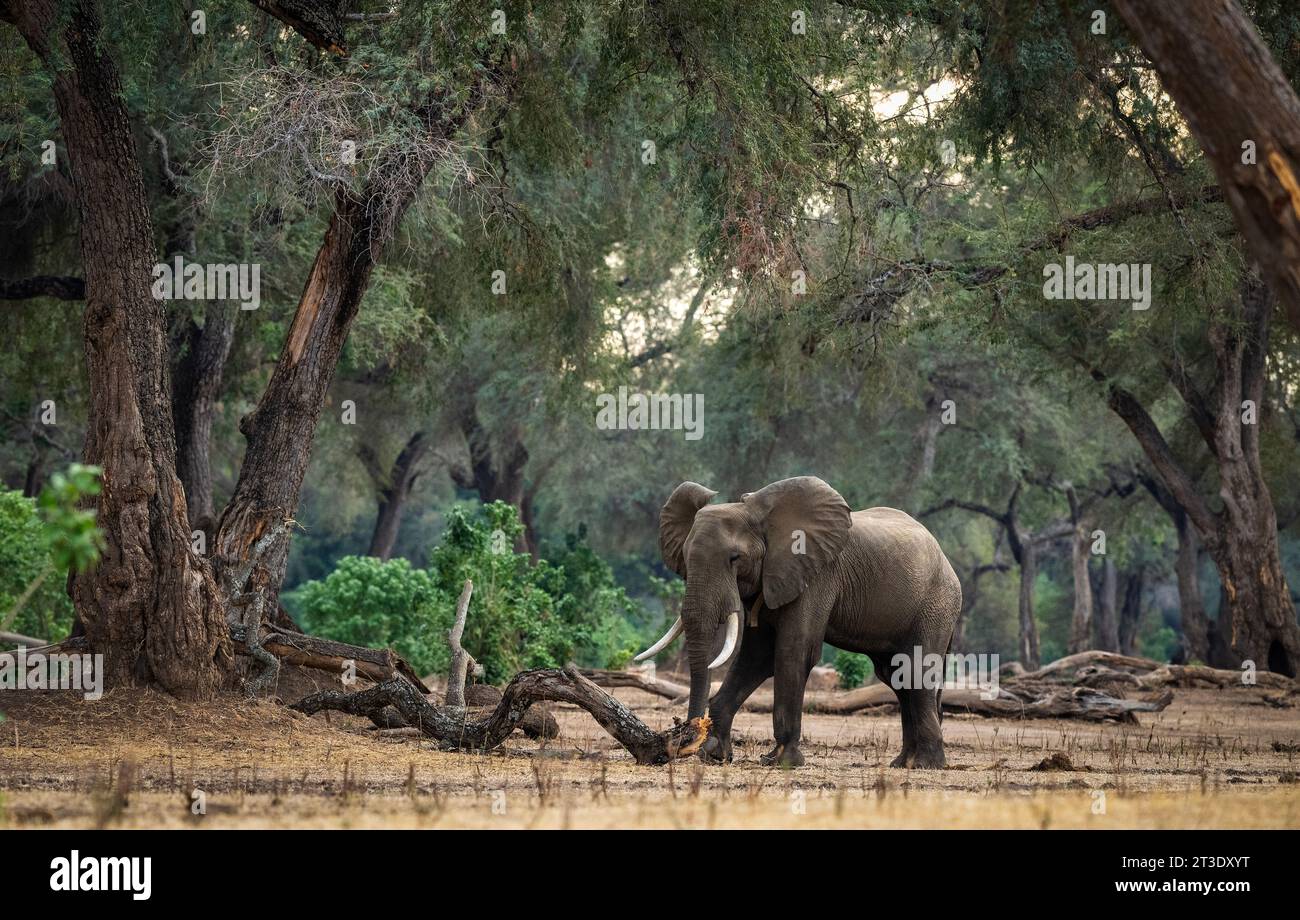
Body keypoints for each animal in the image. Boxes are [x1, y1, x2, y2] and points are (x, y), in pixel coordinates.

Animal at [634, 476, 961, 768]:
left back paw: (927, 764)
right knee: (896, 676)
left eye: (734, 558)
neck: (760, 517)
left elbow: (793, 650)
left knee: (916, 672)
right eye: (685, 557)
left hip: (937, 605)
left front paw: (780, 762)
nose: (685, 738)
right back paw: (903, 763)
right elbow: (756, 657)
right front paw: (714, 754)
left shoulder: (817, 574)